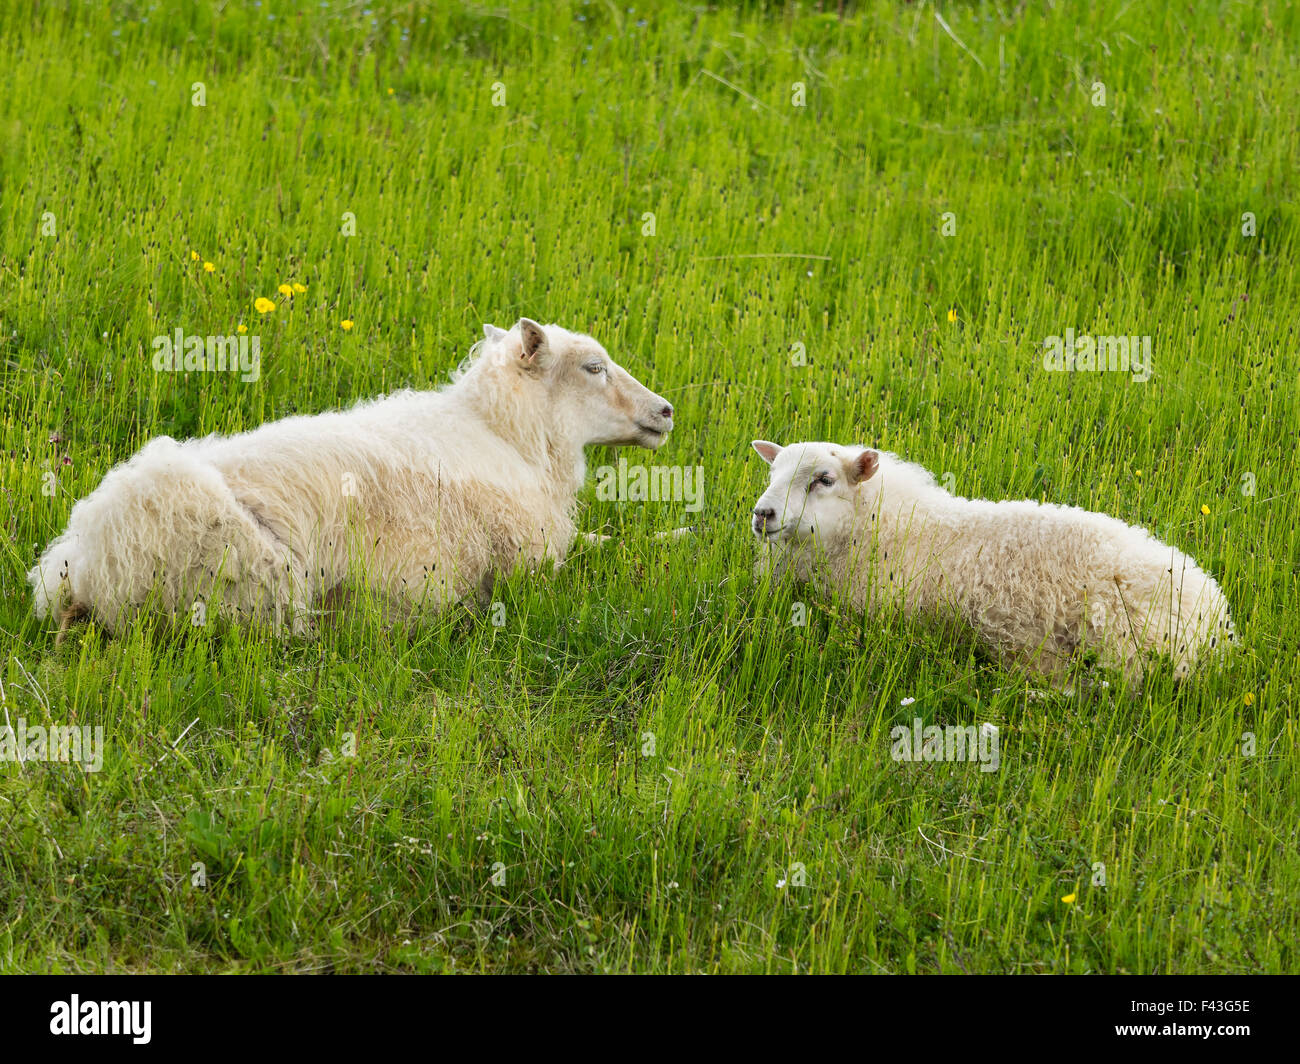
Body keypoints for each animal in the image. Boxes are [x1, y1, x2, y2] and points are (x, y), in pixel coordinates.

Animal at [29, 319, 674, 638]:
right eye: (593, 368)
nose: (666, 411)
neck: (508, 436)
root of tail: (82, 571)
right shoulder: (530, 564)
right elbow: (598, 550)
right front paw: (673, 540)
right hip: (246, 575)